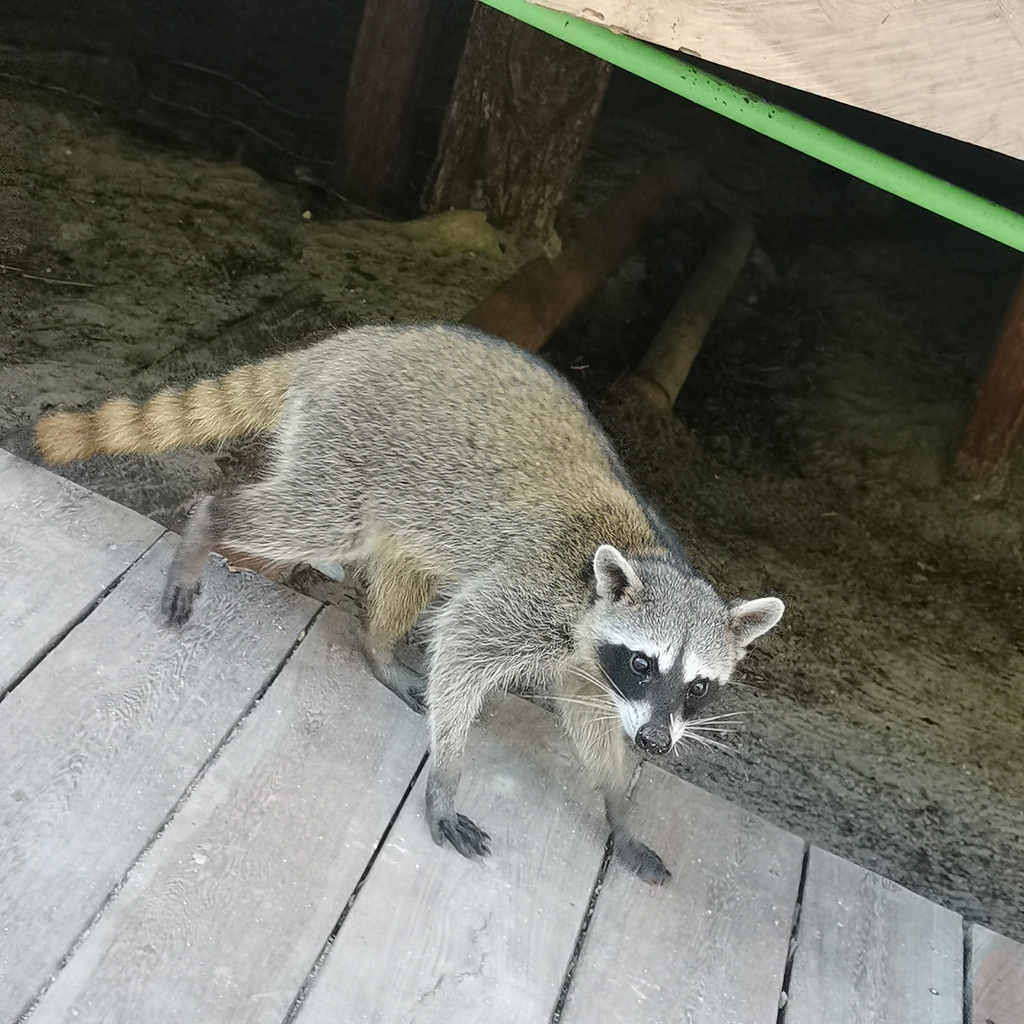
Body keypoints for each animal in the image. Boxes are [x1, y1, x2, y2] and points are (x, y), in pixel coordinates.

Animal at [35, 323, 784, 883]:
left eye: (699, 685)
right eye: (645, 663)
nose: (656, 742)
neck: (645, 558)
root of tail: (350, 344)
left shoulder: (589, 664)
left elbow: (594, 720)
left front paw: (619, 806)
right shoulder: (536, 591)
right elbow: (464, 645)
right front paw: (448, 777)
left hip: (410, 496)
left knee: (406, 571)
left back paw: (378, 646)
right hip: (351, 448)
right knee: (317, 521)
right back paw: (209, 525)